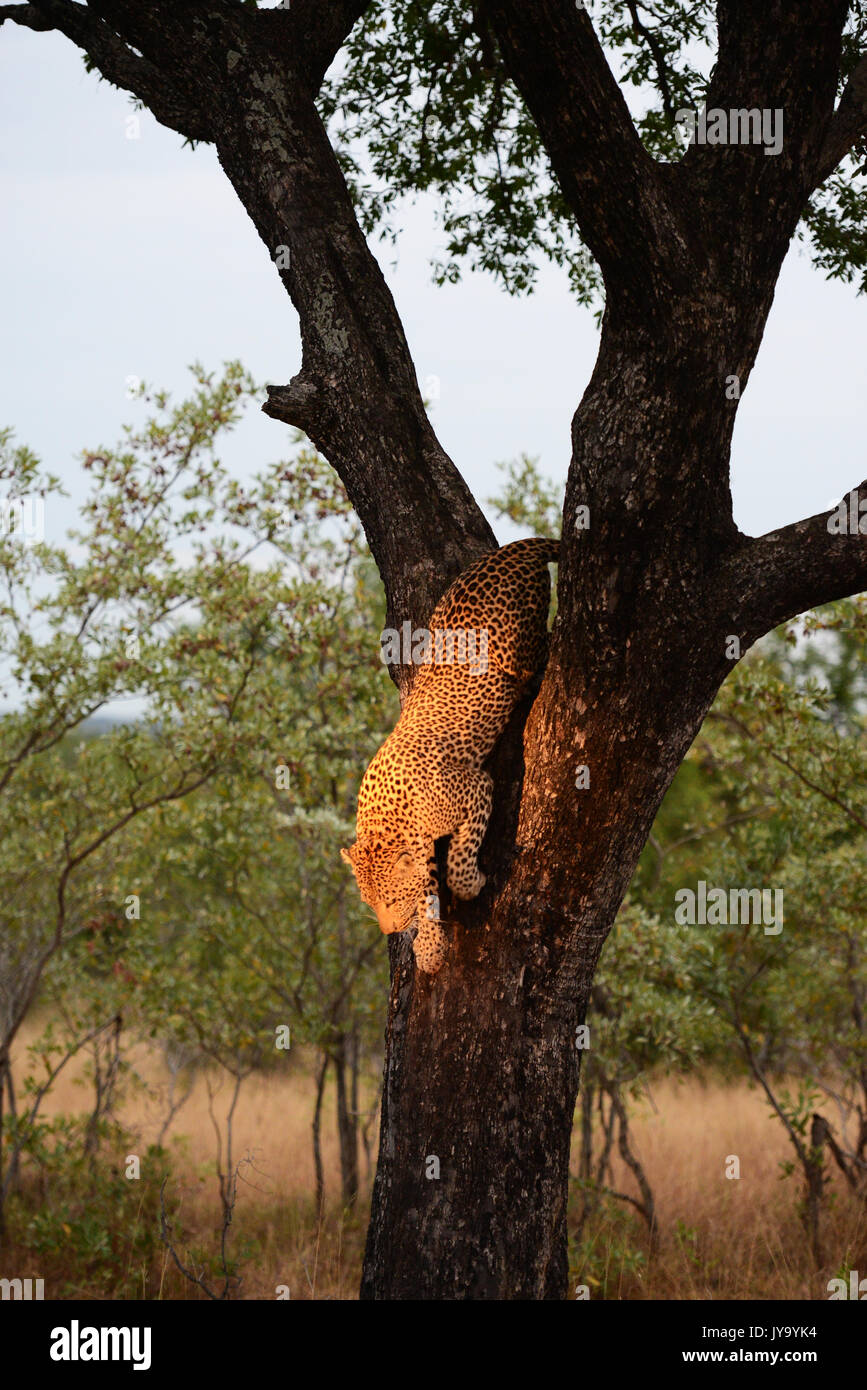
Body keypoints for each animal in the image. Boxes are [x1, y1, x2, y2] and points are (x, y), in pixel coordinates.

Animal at [341, 536, 559, 974]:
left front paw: (470, 883)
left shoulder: (476, 786)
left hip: (523, 648)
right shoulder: (422, 845)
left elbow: (457, 860)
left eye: (390, 900)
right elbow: (427, 886)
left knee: (545, 646)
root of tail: (512, 550)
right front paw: (428, 946)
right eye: (369, 903)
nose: (389, 931)